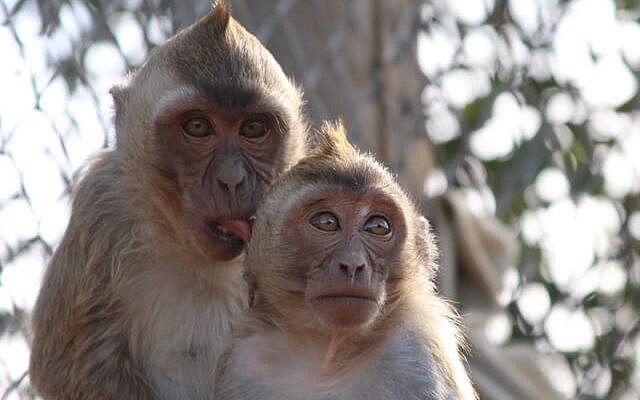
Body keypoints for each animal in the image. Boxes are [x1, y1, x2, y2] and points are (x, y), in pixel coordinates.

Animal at [213, 121, 477, 400]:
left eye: (378, 227)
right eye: (326, 222)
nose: (352, 264)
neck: (328, 352)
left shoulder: (417, 354)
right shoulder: (244, 361)